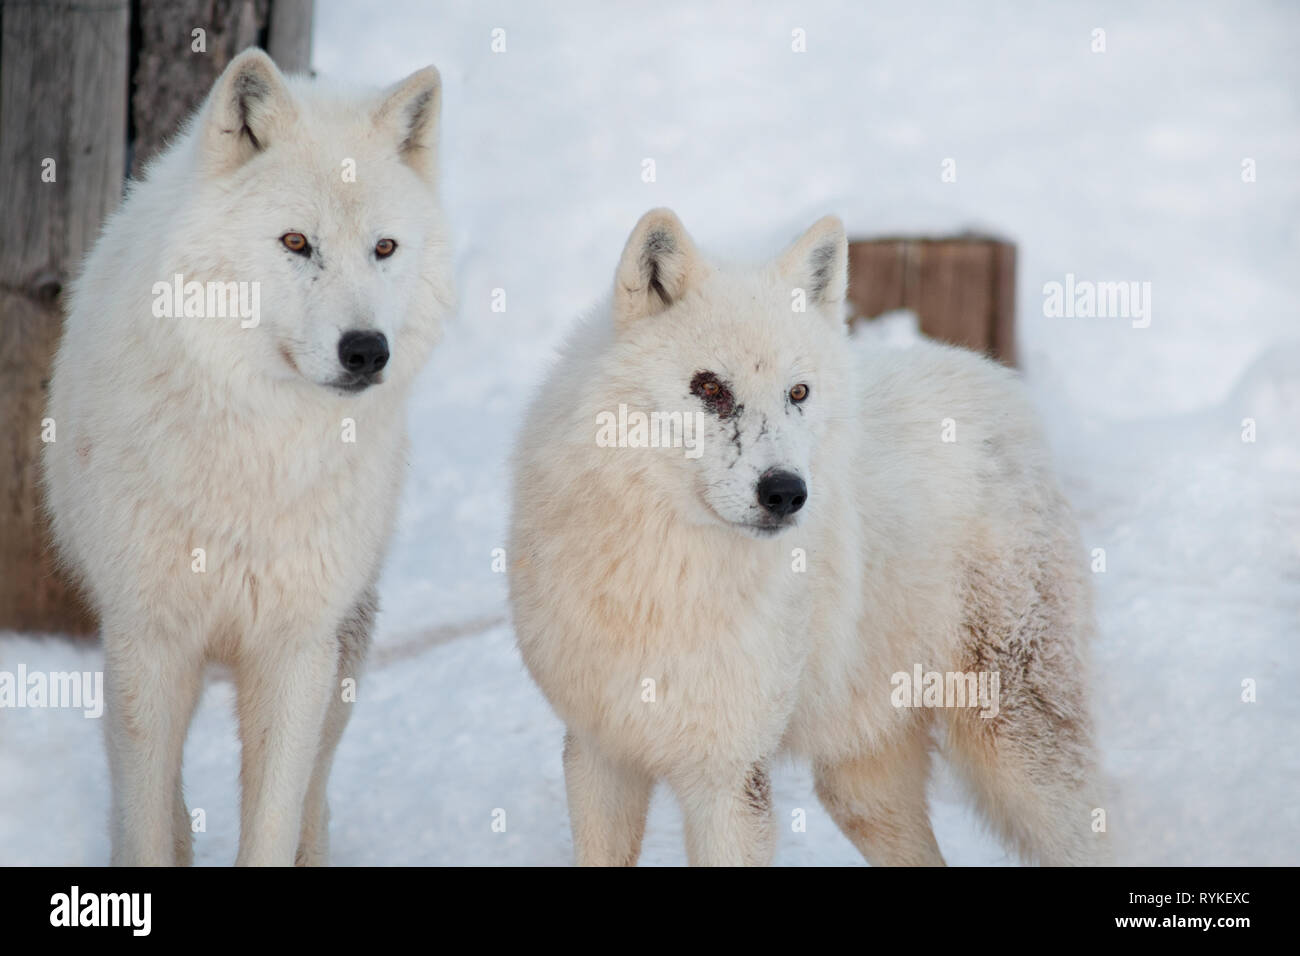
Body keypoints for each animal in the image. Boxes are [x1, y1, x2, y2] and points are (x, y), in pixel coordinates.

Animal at [42, 49, 453, 866]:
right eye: (296, 243)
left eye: (384, 249)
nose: (366, 350)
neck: (261, 449)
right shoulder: (150, 638)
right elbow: (146, 821)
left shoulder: (295, 649)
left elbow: (273, 820)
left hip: (346, 646)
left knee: (315, 796)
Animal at [509, 209, 1103, 866]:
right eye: (709, 388)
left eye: (798, 393)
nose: (786, 493)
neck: (664, 573)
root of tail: (1001, 382)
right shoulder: (598, 754)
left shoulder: (729, 778)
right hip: (862, 787)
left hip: (1018, 753)